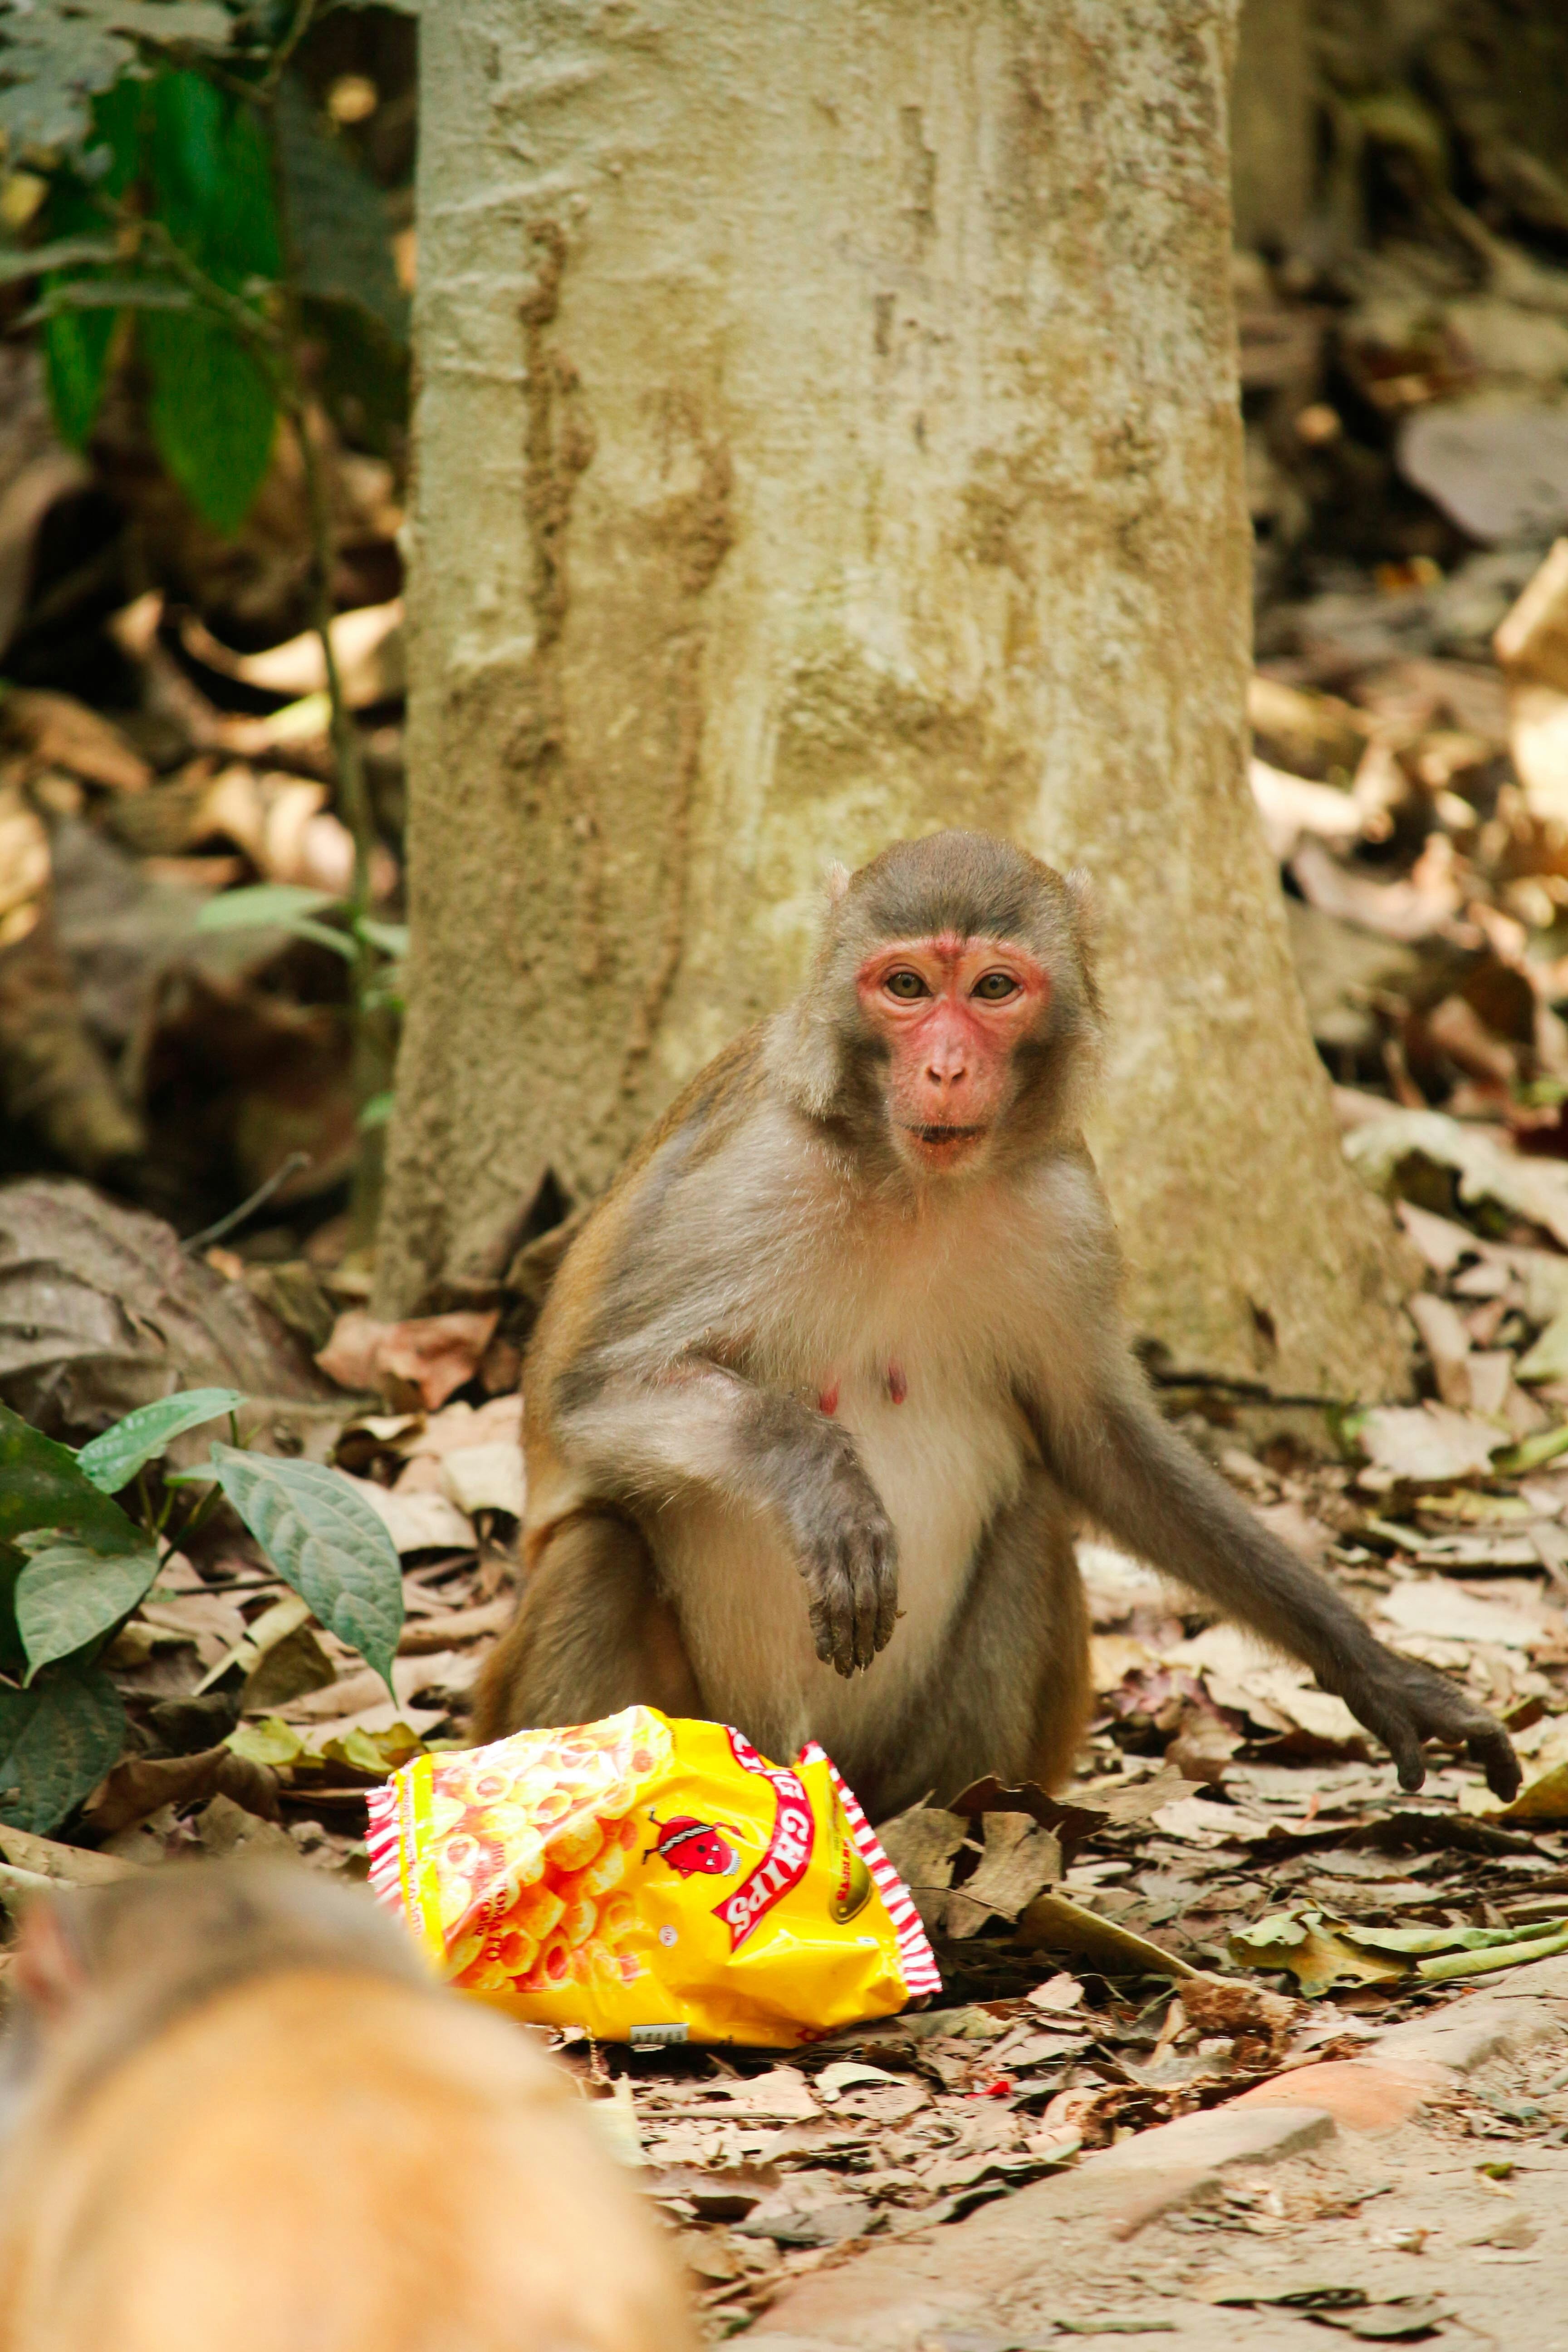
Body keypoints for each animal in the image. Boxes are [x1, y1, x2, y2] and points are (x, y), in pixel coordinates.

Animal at [475, 830, 1519, 1822]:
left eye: (994, 988)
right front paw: (823, 1477)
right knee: (598, 1551)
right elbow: (584, 1402)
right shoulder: (747, 1178)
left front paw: (1370, 1666)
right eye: (904, 986)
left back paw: (966, 1828)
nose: (945, 1067)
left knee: (1032, 1519)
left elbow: (1099, 1443)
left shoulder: (1066, 1210)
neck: (913, 1187)